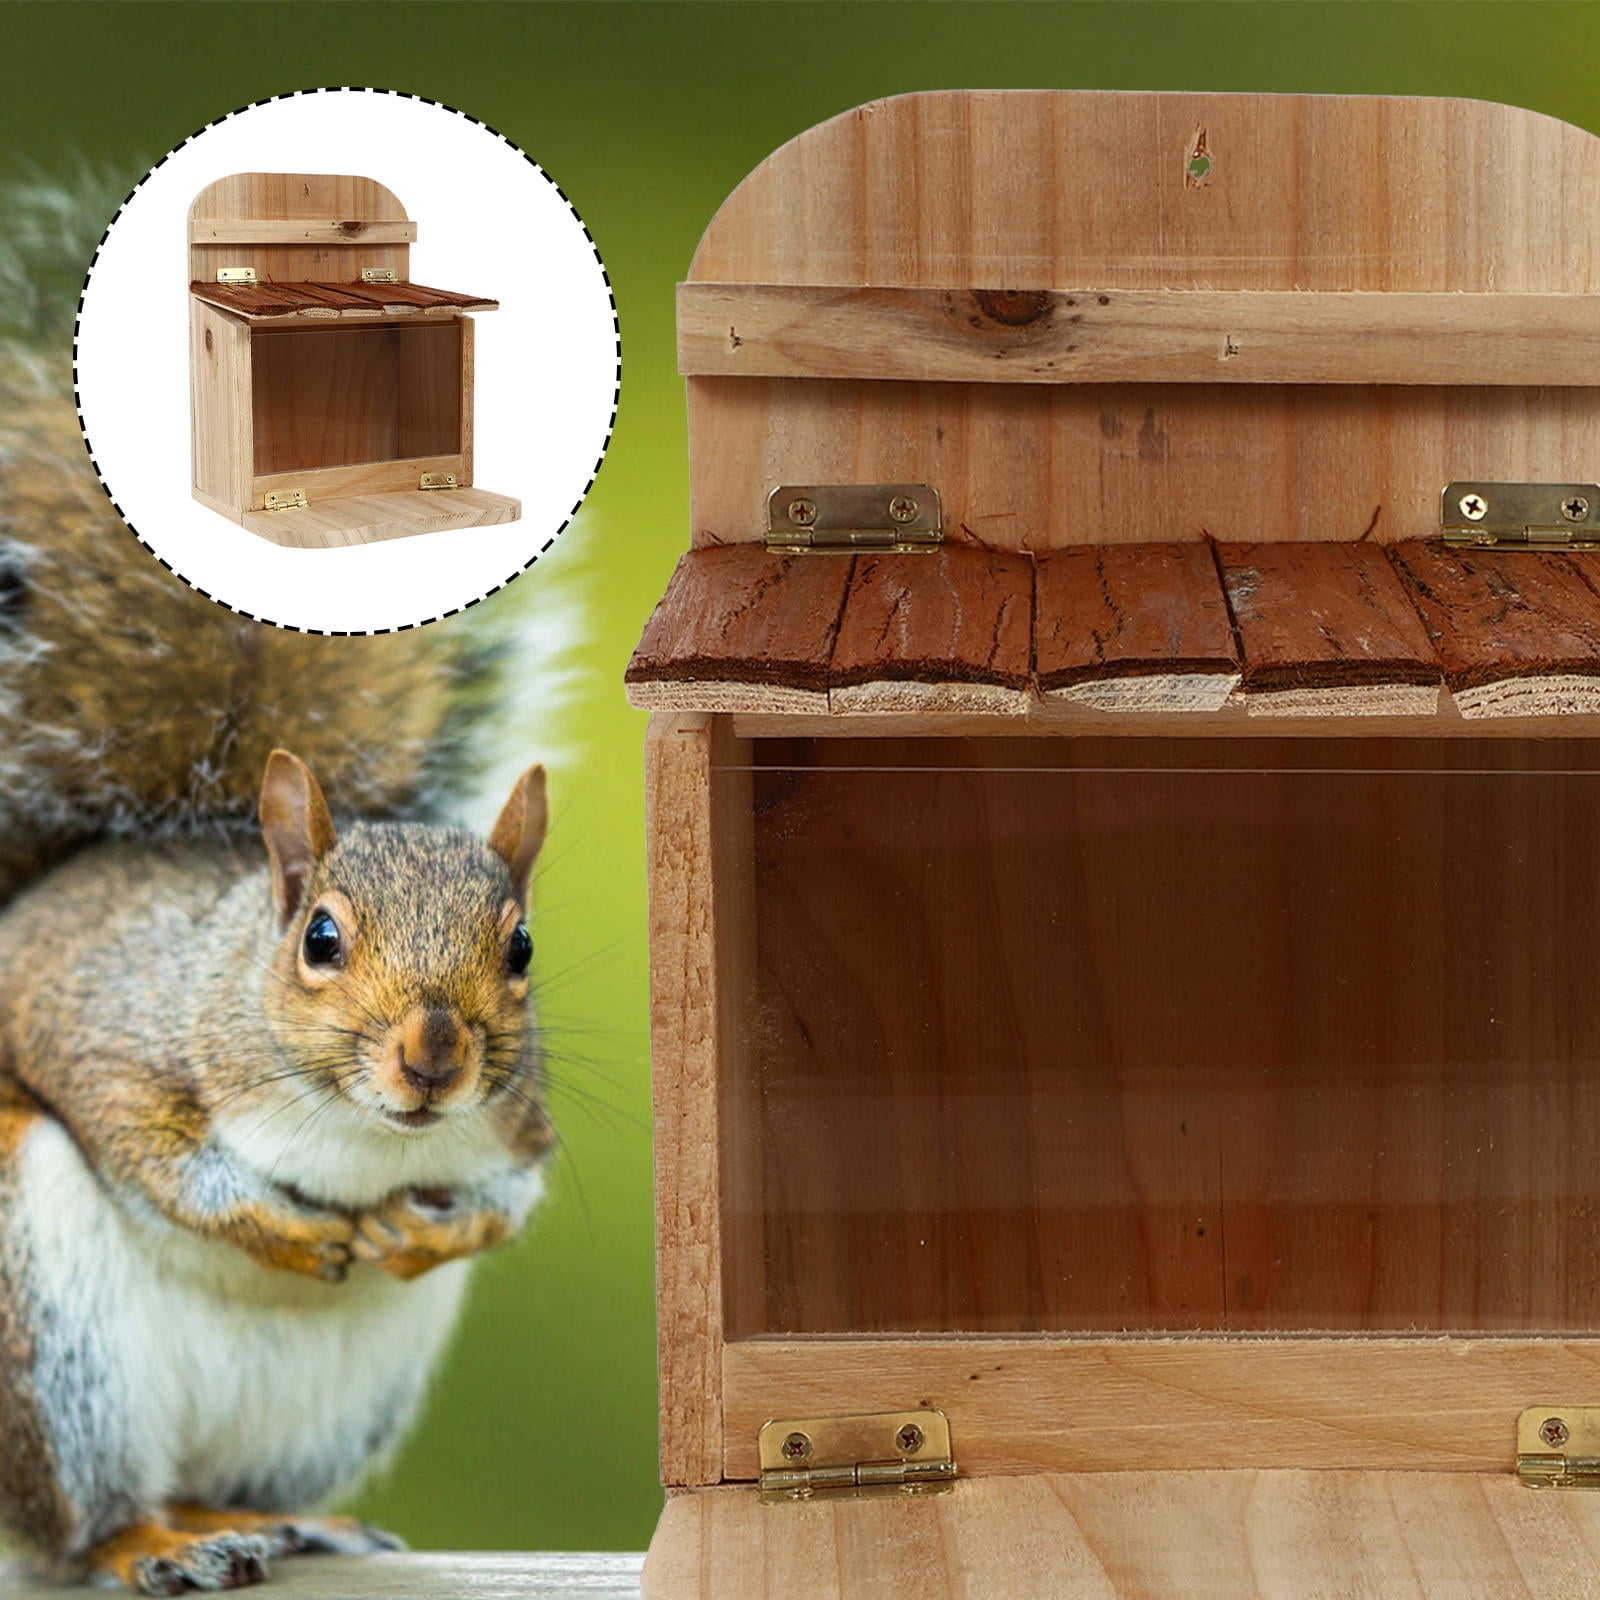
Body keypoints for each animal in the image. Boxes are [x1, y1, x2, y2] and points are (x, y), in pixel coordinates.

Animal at [0, 175, 560, 1593]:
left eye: (520, 950)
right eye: (317, 938)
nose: (433, 1057)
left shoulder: (520, 1122)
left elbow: (511, 1195)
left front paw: (430, 1230)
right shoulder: (107, 1022)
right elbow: (151, 1147)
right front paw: (286, 1229)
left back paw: (278, 1521)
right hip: (44, 1334)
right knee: (83, 1520)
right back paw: (155, 1540)